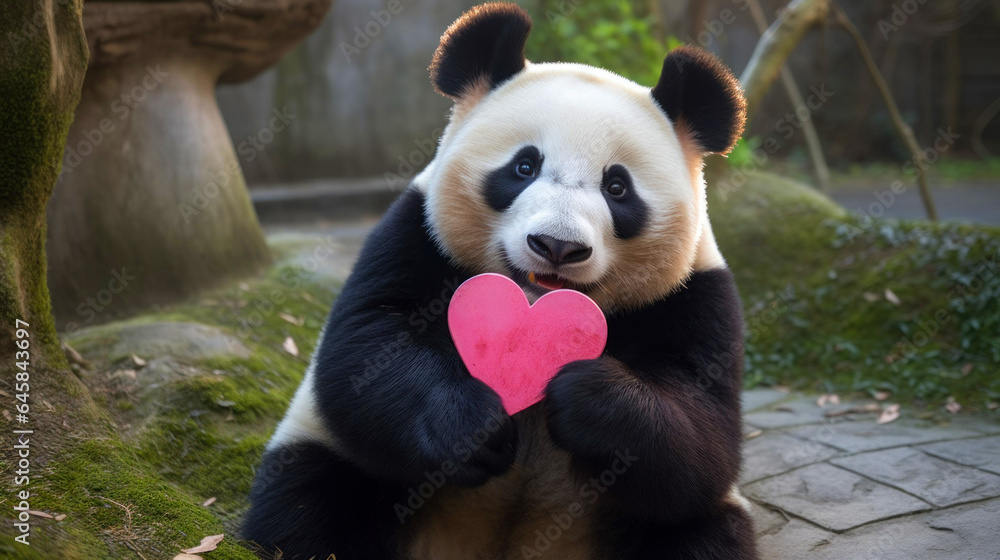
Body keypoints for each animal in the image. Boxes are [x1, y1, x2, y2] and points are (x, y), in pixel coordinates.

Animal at [243, 3, 756, 559]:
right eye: (524, 166)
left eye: (618, 187)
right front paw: (474, 426)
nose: (556, 246)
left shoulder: (694, 294)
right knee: (312, 499)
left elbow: (701, 425)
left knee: (698, 530)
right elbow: (369, 347)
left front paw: (585, 395)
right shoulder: (417, 235)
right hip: (331, 453)